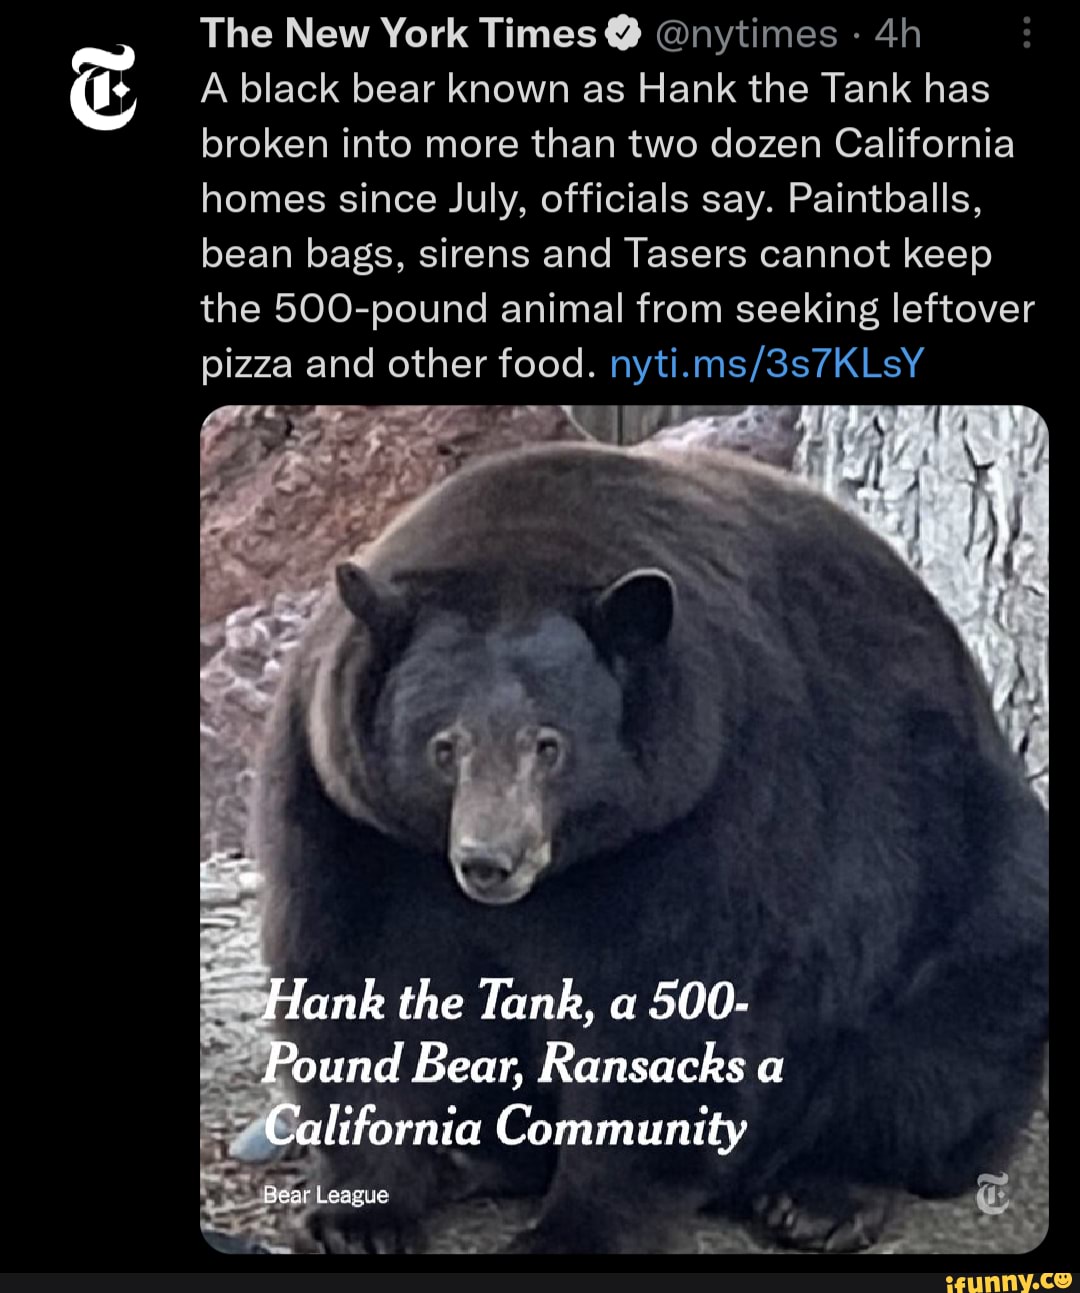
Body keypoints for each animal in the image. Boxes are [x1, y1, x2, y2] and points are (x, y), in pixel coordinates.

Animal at [253, 439, 1049, 1256]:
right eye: (445, 746)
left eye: (550, 745)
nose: (489, 861)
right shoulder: (354, 817)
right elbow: (364, 975)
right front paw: (359, 1216)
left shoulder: (706, 804)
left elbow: (662, 1003)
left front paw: (574, 1230)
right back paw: (471, 1157)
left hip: (964, 881)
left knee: (939, 1047)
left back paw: (821, 1193)